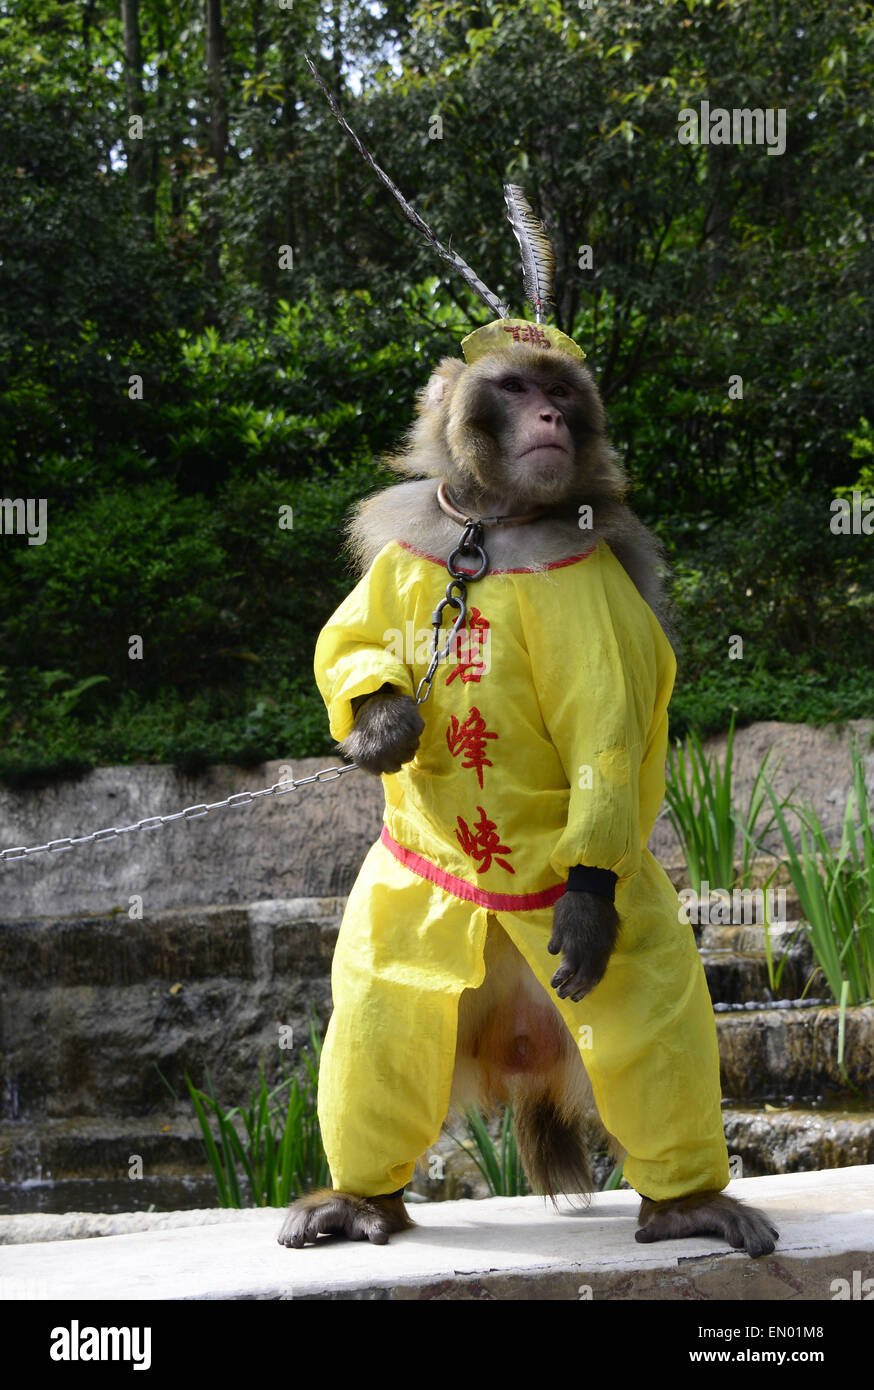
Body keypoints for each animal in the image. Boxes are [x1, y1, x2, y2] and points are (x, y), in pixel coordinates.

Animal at [277, 326, 778, 1261]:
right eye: (514, 388)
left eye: (561, 392)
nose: (548, 416)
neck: (494, 528)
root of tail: (519, 1043)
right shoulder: (417, 549)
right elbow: (349, 644)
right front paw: (382, 726)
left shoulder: (595, 594)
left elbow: (604, 737)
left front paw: (584, 896)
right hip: (412, 905)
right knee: (379, 1021)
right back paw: (361, 1200)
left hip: (615, 929)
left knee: (652, 1031)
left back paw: (687, 1202)